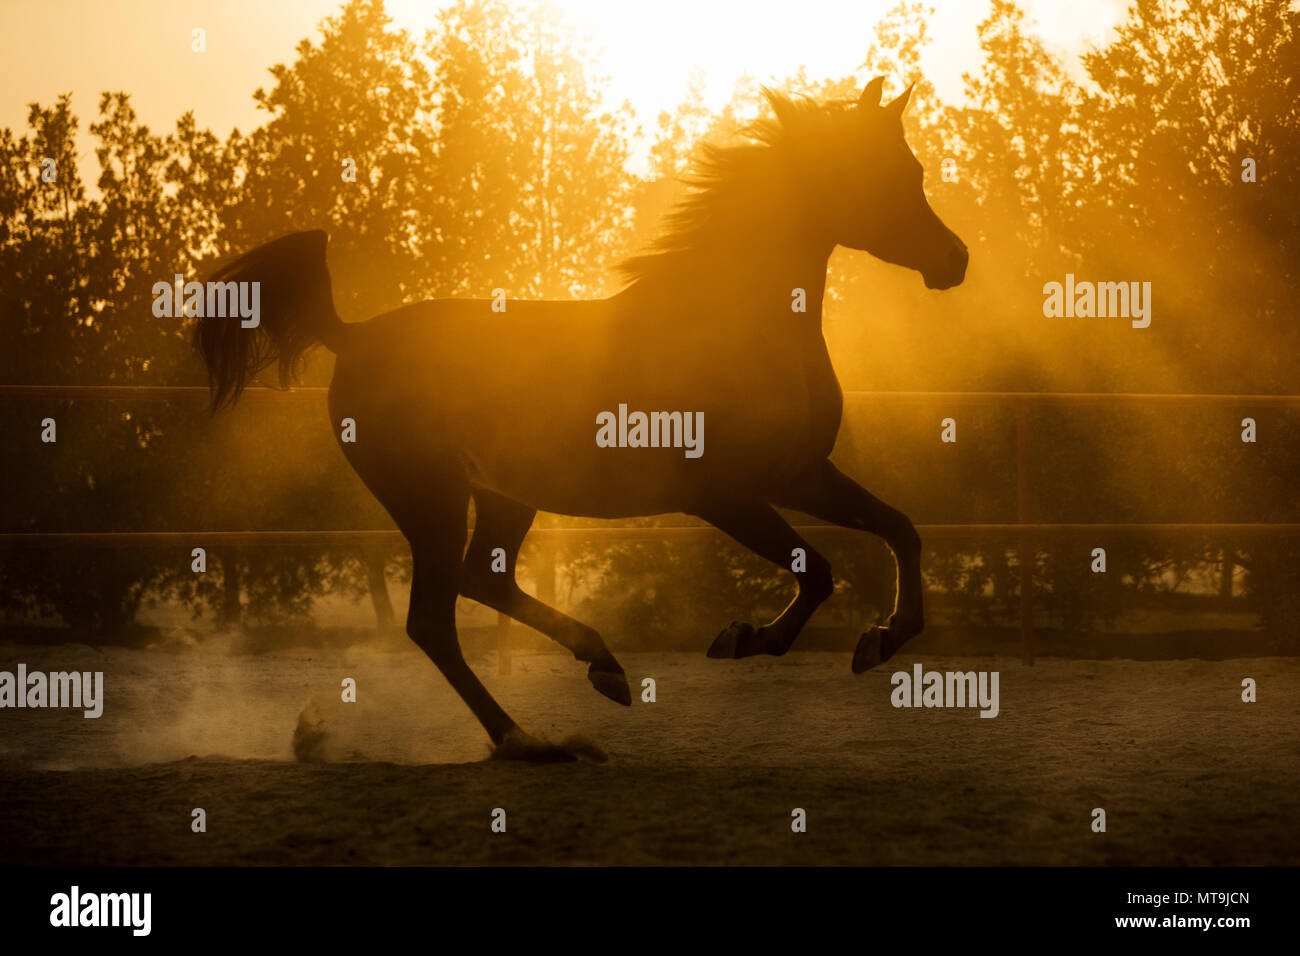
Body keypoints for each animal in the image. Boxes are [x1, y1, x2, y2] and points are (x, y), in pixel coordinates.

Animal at [195, 77, 968, 760]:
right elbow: (821, 571)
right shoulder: (723, 496)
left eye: (913, 168)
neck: (731, 323)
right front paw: (748, 638)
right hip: (430, 501)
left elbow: (900, 529)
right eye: (887, 172)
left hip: (502, 494)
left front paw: (879, 640)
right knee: (434, 622)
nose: (955, 261)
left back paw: (601, 671)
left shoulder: (799, 474)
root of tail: (352, 337)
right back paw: (527, 740)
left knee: (482, 583)